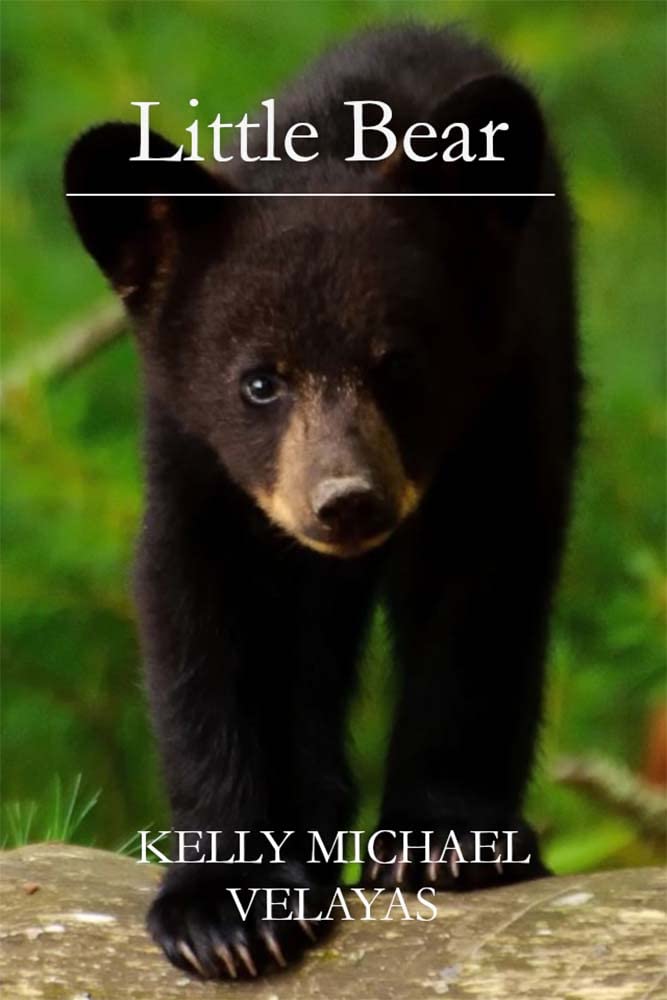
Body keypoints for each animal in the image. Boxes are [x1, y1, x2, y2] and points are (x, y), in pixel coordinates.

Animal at [64, 23, 580, 980]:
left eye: (400, 364)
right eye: (259, 381)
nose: (346, 502)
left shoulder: (503, 406)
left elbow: (478, 601)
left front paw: (441, 842)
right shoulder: (197, 458)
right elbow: (199, 620)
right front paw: (224, 912)